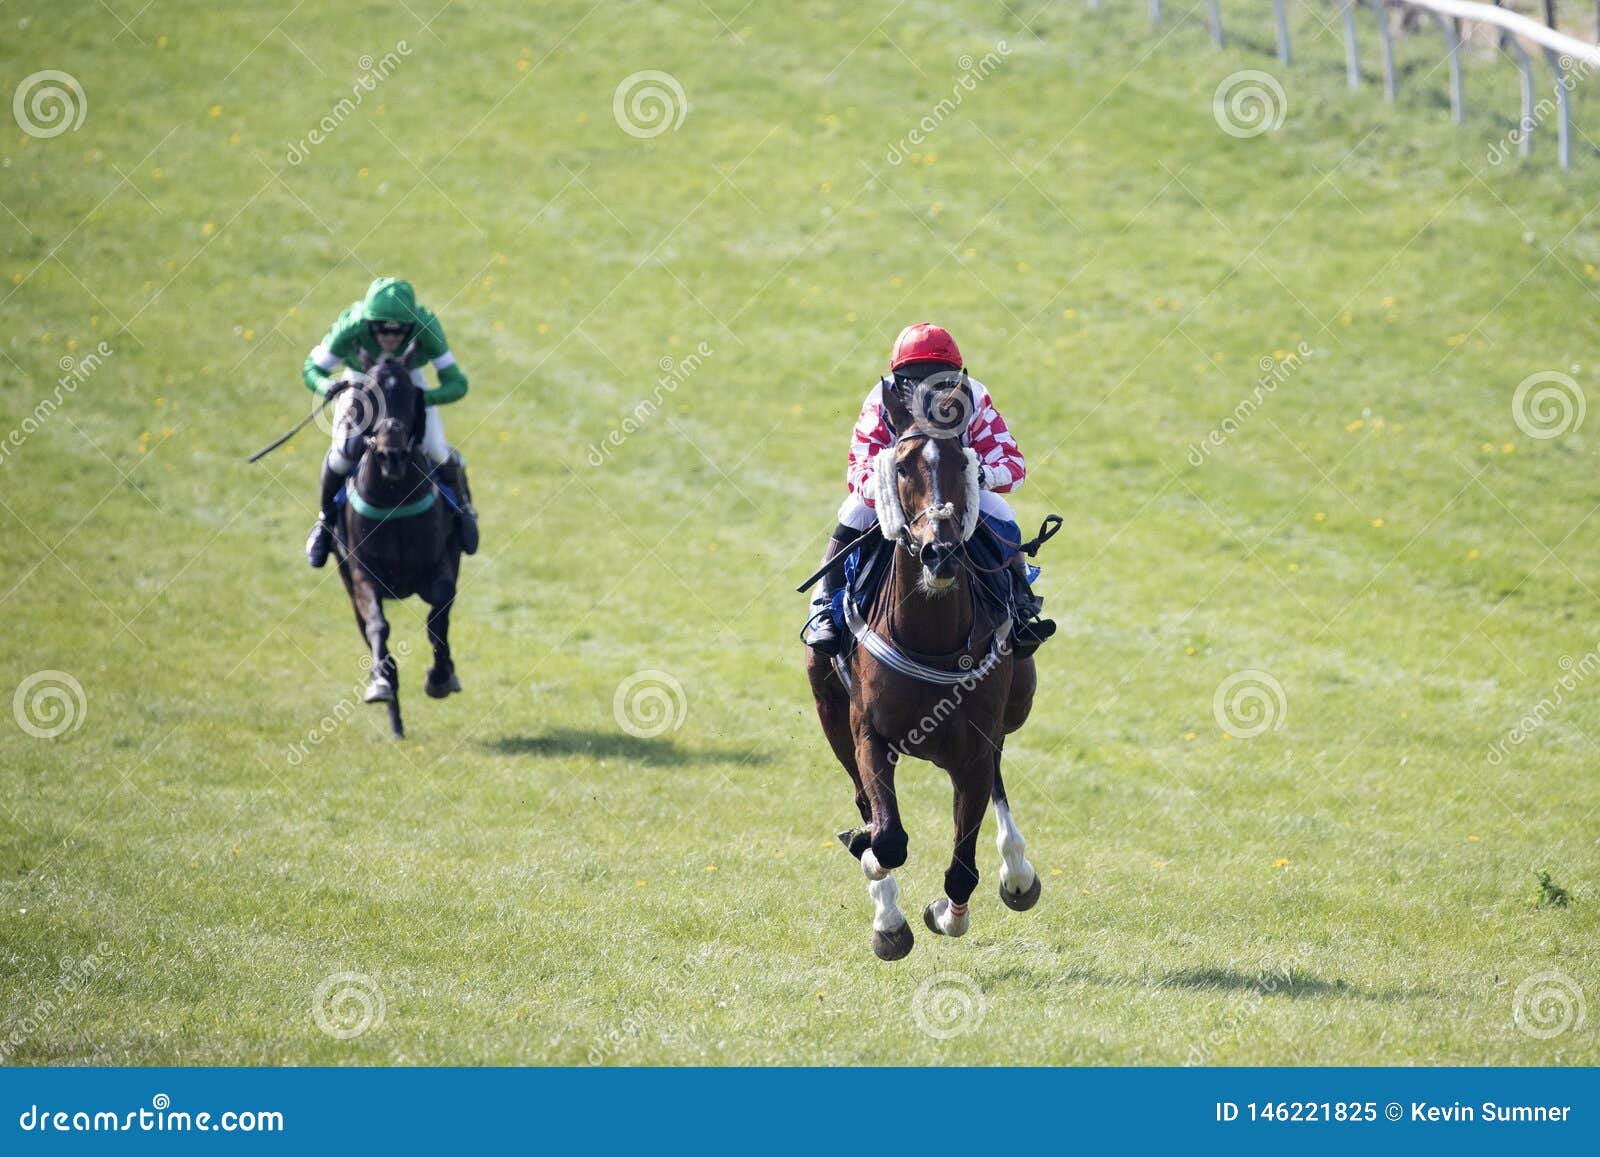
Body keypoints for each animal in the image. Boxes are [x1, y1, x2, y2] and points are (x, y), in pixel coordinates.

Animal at [333, 352, 463, 739]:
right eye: (367, 394)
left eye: (408, 393)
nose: (391, 454)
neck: (394, 497)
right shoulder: (362, 573)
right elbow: (378, 626)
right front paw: (381, 684)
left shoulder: (441, 566)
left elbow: (438, 616)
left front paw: (440, 676)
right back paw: (393, 717)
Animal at [804, 383, 1041, 961]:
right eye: (903, 466)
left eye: (962, 462)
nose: (940, 552)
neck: (930, 638)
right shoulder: (868, 733)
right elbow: (887, 839)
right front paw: (887, 913)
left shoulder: (975, 745)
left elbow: (962, 869)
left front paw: (949, 913)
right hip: (829, 711)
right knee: (865, 803)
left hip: (1014, 706)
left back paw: (1018, 872)